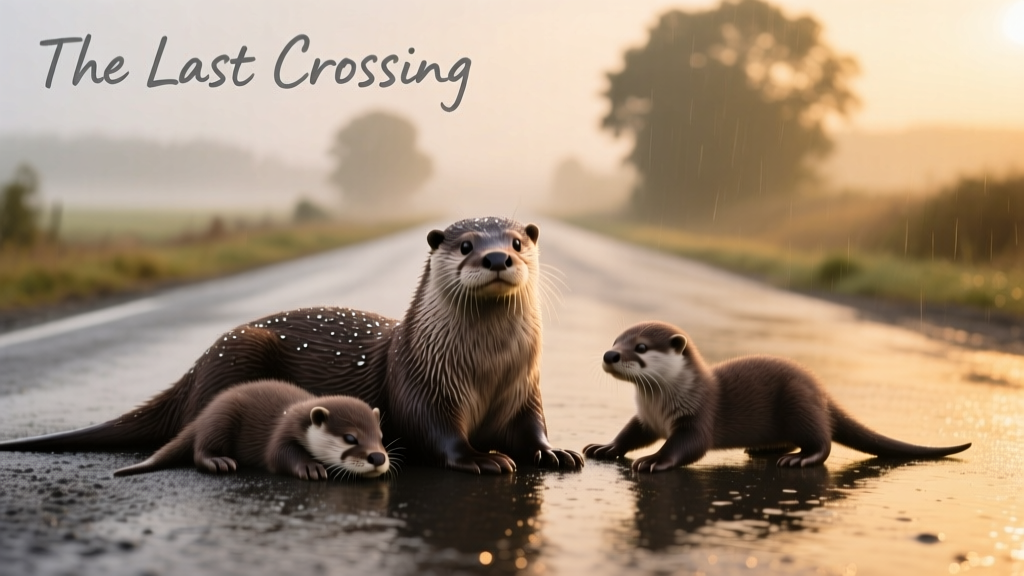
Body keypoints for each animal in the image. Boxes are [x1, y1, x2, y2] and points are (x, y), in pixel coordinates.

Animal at [114, 379, 389, 480]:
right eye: (350, 438)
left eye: (380, 437)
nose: (378, 457)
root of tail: (204, 415)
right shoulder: (281, 433)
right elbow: (278, 456)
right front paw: (310, 467)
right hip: (221, 421)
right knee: (200, 451)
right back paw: (219, 461)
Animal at [584, 321, 971, 472]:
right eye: (616, 340)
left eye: (640, 347)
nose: (610, 354)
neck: (662, 404)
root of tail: (821, 391)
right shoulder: (646, 418)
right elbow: (630, 433)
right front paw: (604, 447)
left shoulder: (697, 415)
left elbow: (688, 446)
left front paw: (652, 460)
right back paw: (763, 449)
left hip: (798, 403)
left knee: (823, 441)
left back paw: (798, 458)